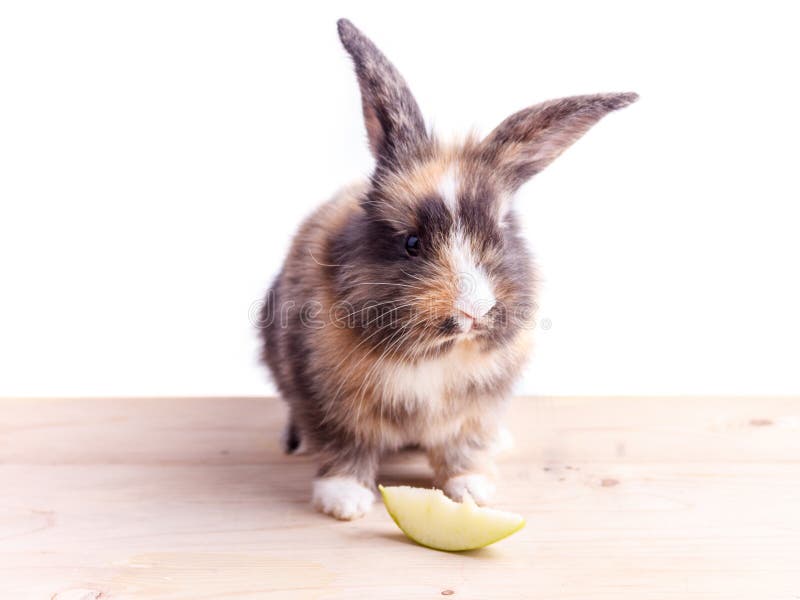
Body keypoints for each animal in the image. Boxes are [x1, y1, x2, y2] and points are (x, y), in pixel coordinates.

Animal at [259, 18, 637, 520]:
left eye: (499, 237)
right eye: (411, 243)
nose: (473, 310)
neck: (434, 356)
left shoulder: (474, 409)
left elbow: (462, 449)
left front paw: (473, 490)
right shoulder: (329, 399)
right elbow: (345, 446)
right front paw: (344, 501)